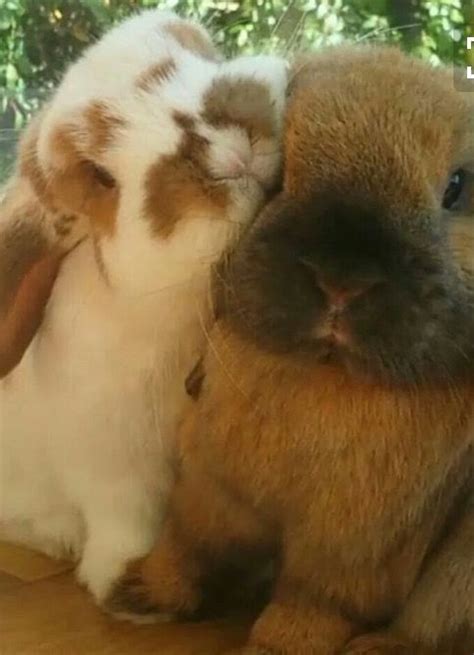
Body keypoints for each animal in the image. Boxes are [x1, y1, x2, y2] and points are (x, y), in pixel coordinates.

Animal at [0, 8, 288, 604]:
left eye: (195, 55)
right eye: (100, 178)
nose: (231, 152)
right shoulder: (115, 462)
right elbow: (129, 520)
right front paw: (128, 578)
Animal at [106, 45, 474, 654]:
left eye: (457, 188)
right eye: (278, 174)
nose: (342, 280)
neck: (324, 373)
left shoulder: (353, 549)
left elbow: (314, 605)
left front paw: (276, 647)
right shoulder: (211, 489)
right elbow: (185, 545)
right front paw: (136, 592)